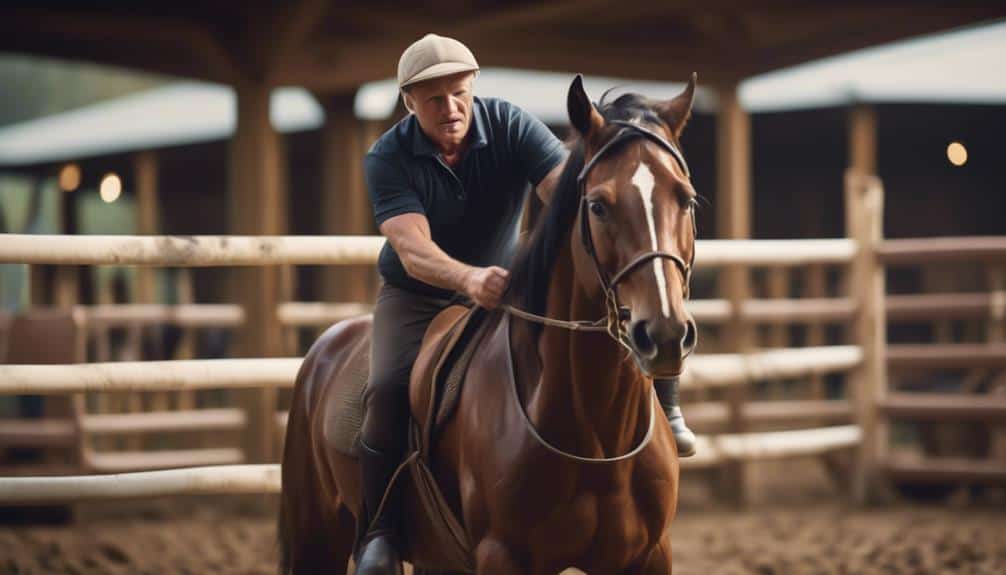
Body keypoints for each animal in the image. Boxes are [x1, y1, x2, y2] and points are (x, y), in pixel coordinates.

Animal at [279, 73, 699, 574]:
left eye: (687, 199)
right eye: (598, 205)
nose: (664, 334)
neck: (598, 435)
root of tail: (325, 346)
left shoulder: (647, 556)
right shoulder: (502, 555)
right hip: (316, 537)